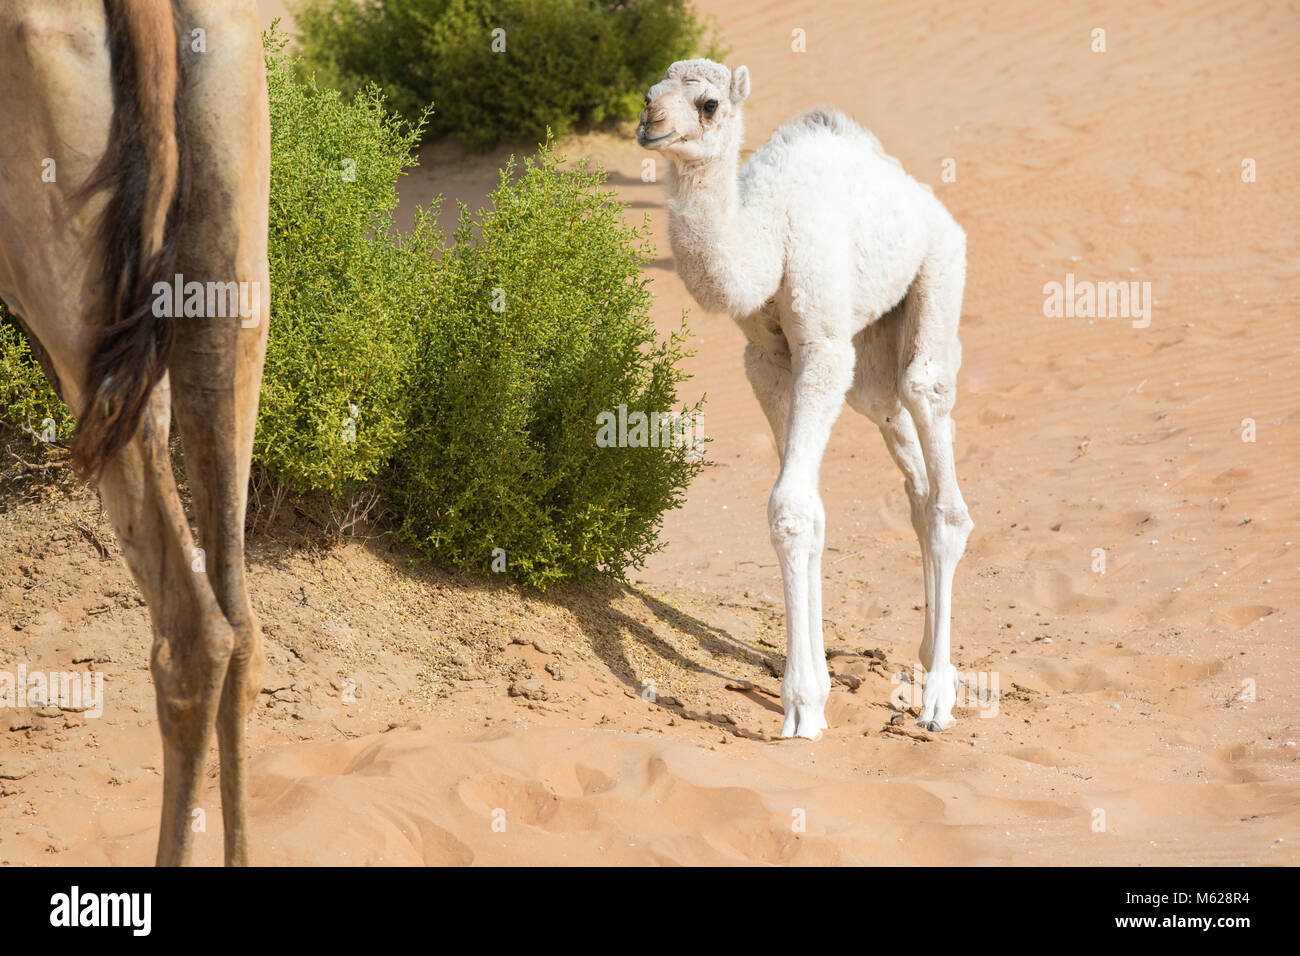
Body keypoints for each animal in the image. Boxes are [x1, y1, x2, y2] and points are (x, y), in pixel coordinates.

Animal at [637, 60, 973, 738]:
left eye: (708, 104)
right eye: (650, 93)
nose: (650, 123)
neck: (768, 233)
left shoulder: (821, 346)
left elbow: (789, 508)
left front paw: (800, 706)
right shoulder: (765, 360)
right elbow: (811, 512)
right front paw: (815, 691)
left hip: (940, 272)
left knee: (933, 428)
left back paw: (937, 701)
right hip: (874, 360)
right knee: (913, 472)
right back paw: (925, 658)